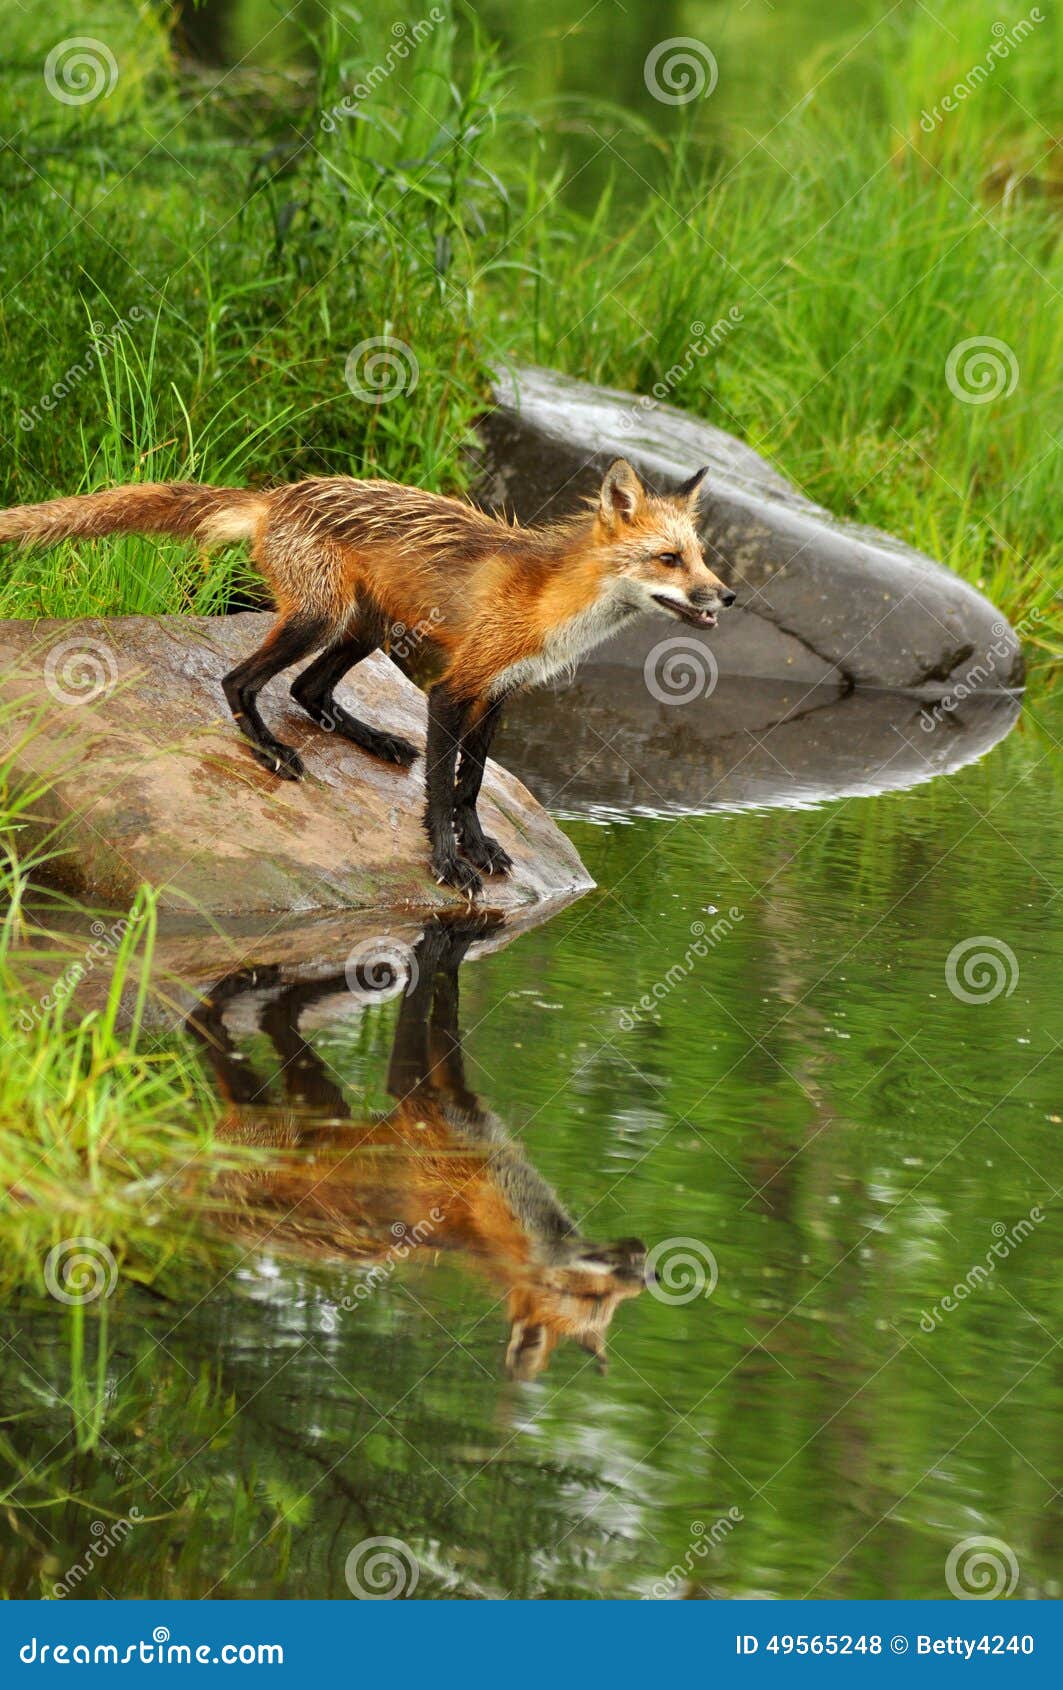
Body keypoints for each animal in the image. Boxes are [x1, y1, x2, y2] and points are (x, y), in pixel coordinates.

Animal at [0, 459, 735, 894]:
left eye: (701, 556)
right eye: (668, 559)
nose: (725, 597)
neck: (547, 602)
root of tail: (280, 493)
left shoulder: (500, 691)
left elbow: (470, 785)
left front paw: (478, 845)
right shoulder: (452, 686)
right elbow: (441, 789)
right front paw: (446, 861)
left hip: (369, 628)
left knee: (308, 689)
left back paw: (374, 739)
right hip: (321, 618)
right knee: (240, 682)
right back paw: (269, 748)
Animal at [189, 917, 650, 1380]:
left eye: (616, 1301)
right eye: (594, 1297)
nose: (648, 1270)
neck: (488, 1194)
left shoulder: (456, 1101)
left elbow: (445, 1009)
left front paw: (455, 946)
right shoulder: (421, 1105)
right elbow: (426, 994)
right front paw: (437, 948)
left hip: (320, 1107)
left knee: (275, 1016)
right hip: (282, 1122)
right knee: (202, 1022)